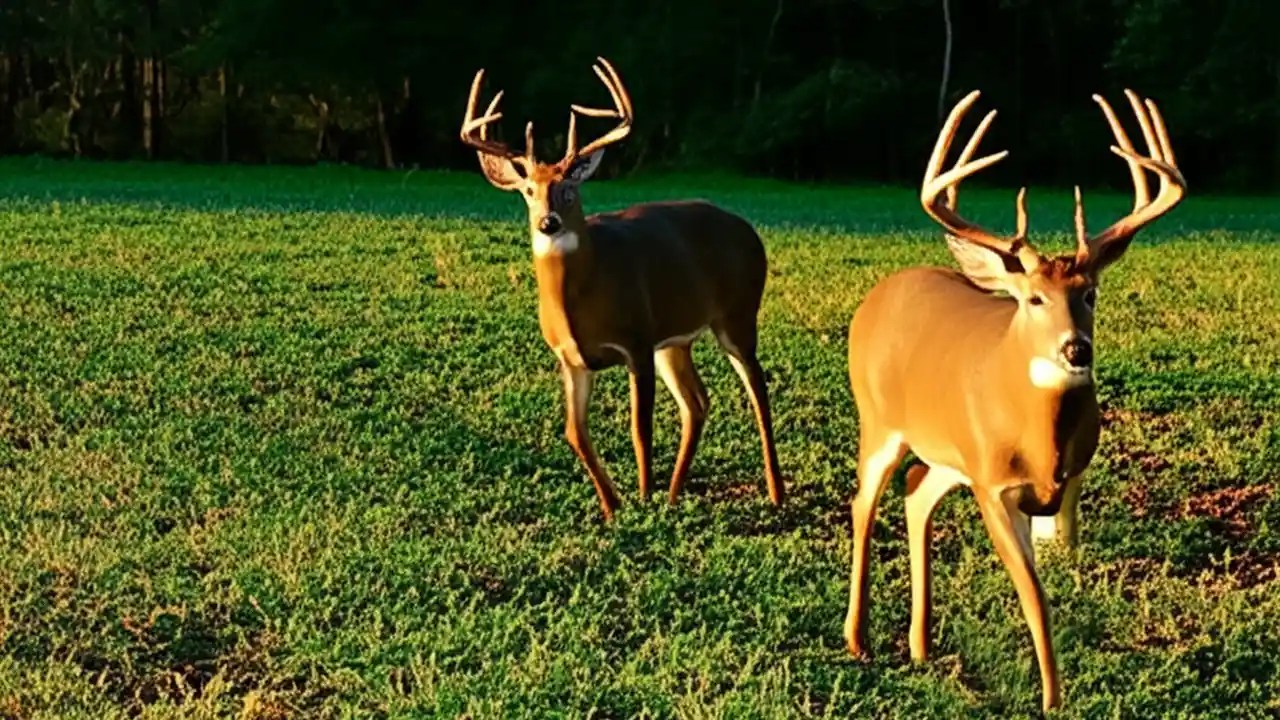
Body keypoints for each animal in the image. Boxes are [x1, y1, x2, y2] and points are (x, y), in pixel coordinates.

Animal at [459, 57, 786, 521]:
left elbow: (640, 428)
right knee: (697, 401)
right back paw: (674, 494)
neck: (582, 302)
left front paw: (642, 498)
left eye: (570, 189)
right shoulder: (571, 357)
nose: (547, 222)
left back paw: (775, 492)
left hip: (738, 313)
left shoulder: (637, 340)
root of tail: (750, 231)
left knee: (757, 390)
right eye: (528, 191)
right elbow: (574, 432)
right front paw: (613, 507)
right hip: (676, 339)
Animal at [842, 88, 1185, 712]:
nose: (1076, 349)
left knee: (916, 491)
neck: (1040, 436)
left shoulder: (1064, 478)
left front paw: (1056, 693)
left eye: (1091, 293)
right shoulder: (995, 486)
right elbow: (1034, 596)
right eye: (1032, 298)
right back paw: (857, 639)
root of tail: (879, 294)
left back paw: (921, 645)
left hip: (952, 453)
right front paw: (1051, 701)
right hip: (879, 420)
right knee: (864, 501)